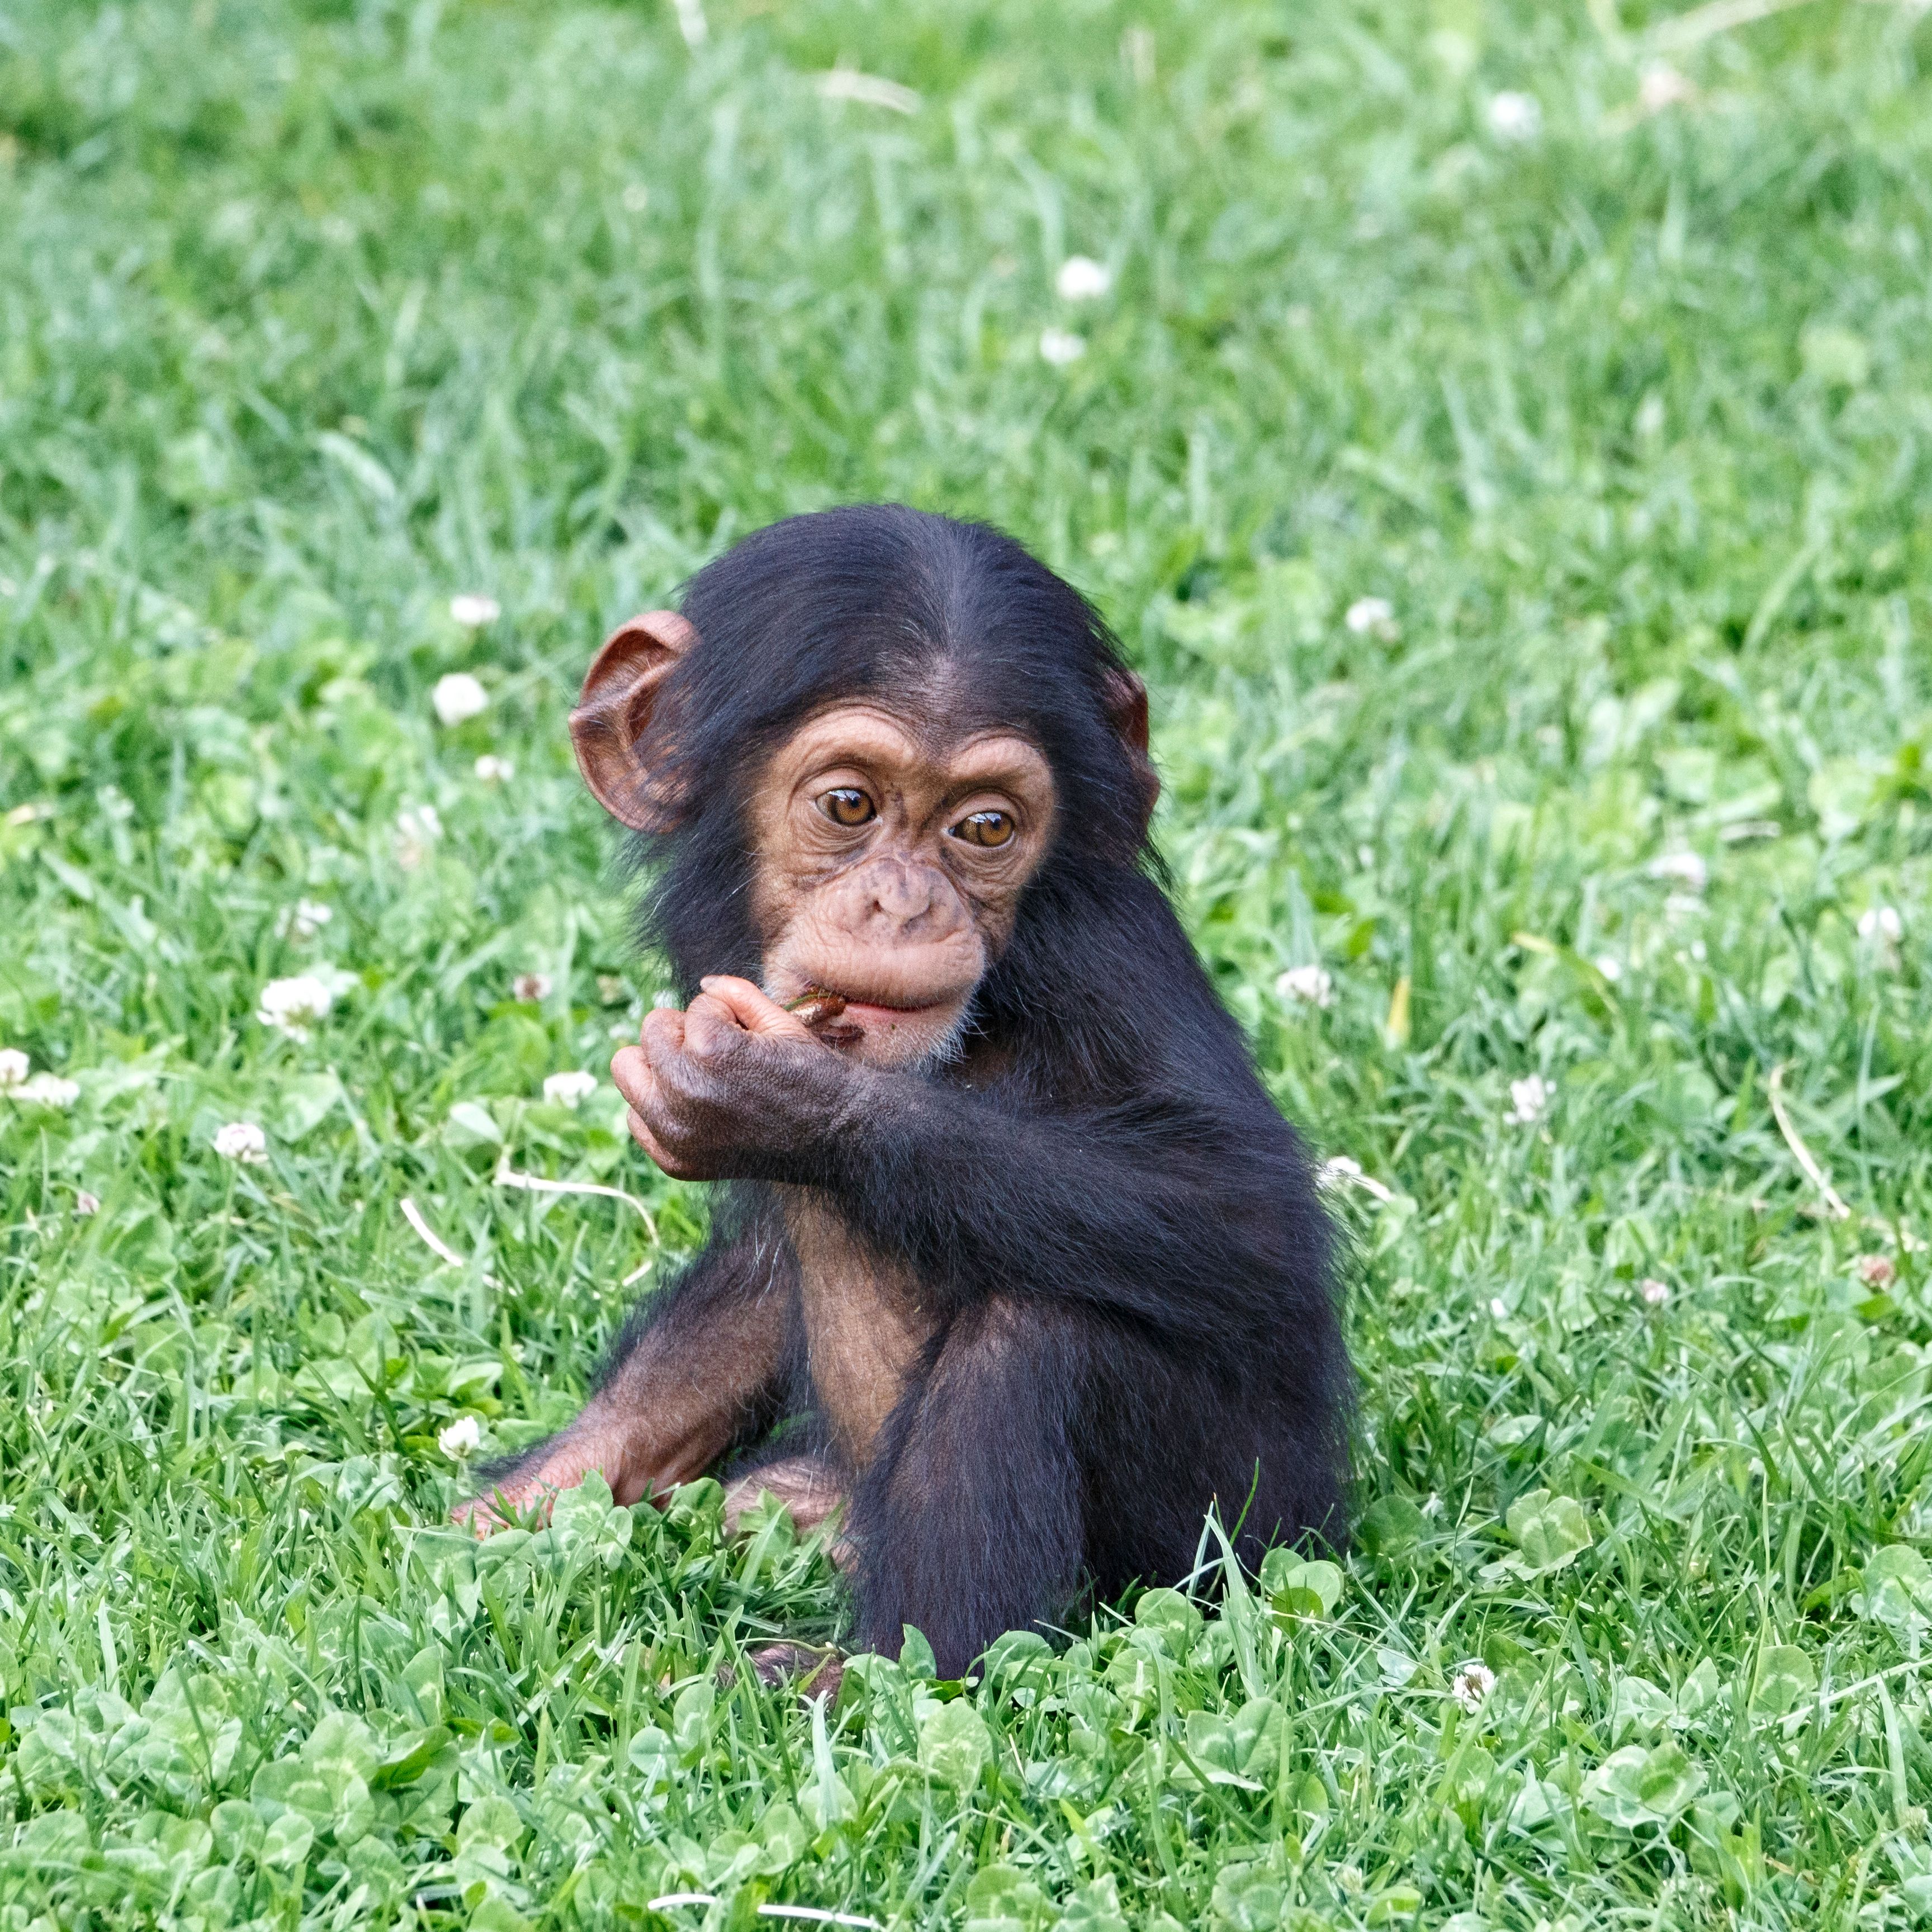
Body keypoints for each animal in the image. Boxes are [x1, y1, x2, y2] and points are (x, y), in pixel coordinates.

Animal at [471, 504, 1349, 1681]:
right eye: (850, 805)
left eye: (984, 828)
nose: (903, 902)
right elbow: (757, 1277)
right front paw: (534, 1495)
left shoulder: (1108, 948)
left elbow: (1246, 1208)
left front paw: (779, 1096)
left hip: (1240, 1533)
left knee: (1033, 1334)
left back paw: (874, 1677)